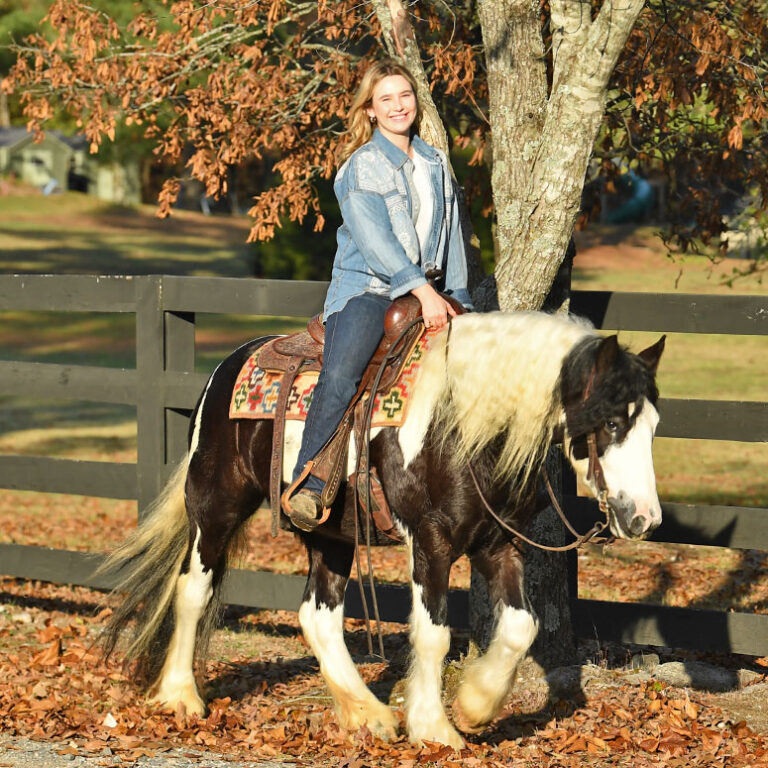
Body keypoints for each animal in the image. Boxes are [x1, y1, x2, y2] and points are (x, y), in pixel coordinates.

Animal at [99, 310, 665, 749]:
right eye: (613, 423)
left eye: (654, 425)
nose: (644, 518)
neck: (462, 423)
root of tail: (228, 363)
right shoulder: (430, 541)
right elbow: (433, 634)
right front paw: (435, 728)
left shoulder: (497, 543)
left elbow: (520, 627)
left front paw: (474, 707)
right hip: (216, 506)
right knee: (193, 590)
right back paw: (181, 696)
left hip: (329, 536)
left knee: (318, 614)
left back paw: (367, 715)